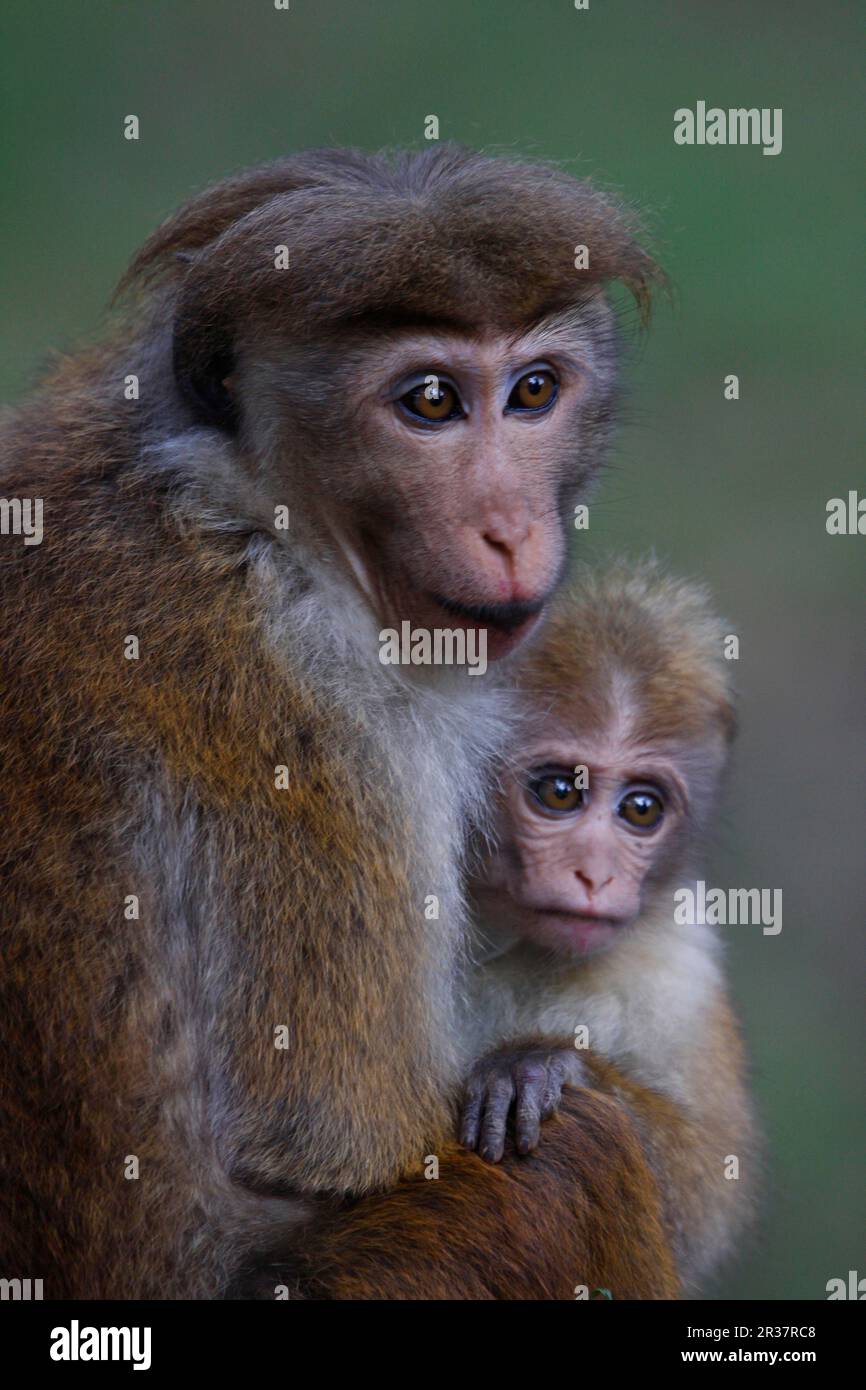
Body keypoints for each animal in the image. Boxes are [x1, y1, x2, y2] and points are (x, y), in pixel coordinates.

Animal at [0, 146, 675, 1300]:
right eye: (431, 401)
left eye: (534, 391)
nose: (510, 528)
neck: (252, 516)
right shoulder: (325, 734)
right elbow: (340, 1140)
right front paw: (534, 1075)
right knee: (575, 1155)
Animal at [458, 559, 758, 1292]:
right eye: (560, 792)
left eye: (641, 809)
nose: (595, 874)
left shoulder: (677, 964)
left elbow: (706, 1201)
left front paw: (543, 1068)